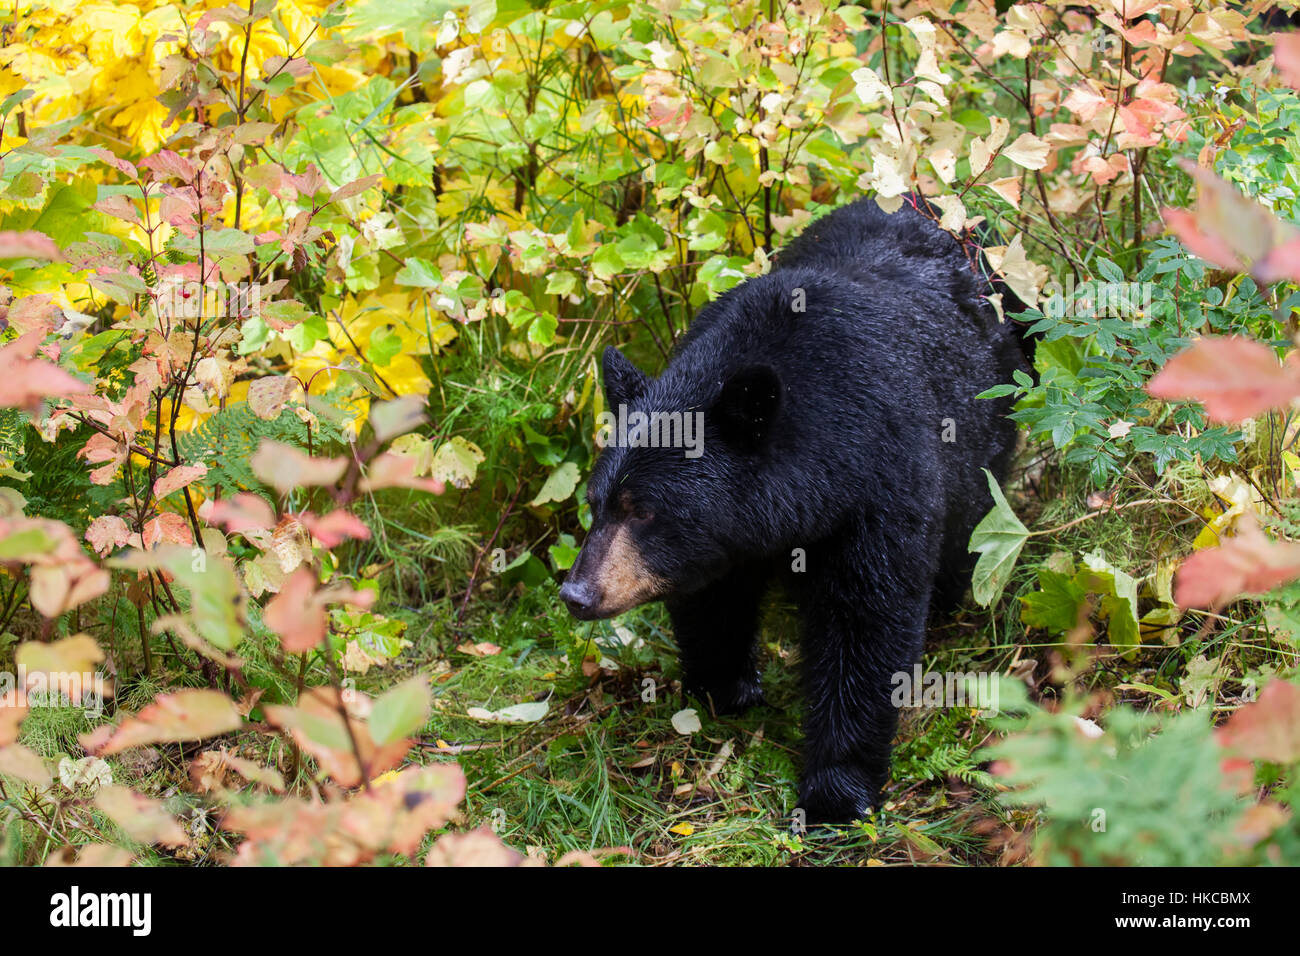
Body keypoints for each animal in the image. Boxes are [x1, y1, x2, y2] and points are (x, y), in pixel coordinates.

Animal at [559, 196, 1029, 823]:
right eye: (598, 504)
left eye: (644, 510)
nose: (577, 593)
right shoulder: (727, 540)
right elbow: (713, 597)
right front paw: (724, 688)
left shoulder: (879, 485)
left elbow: (866, 621)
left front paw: (836, 792)